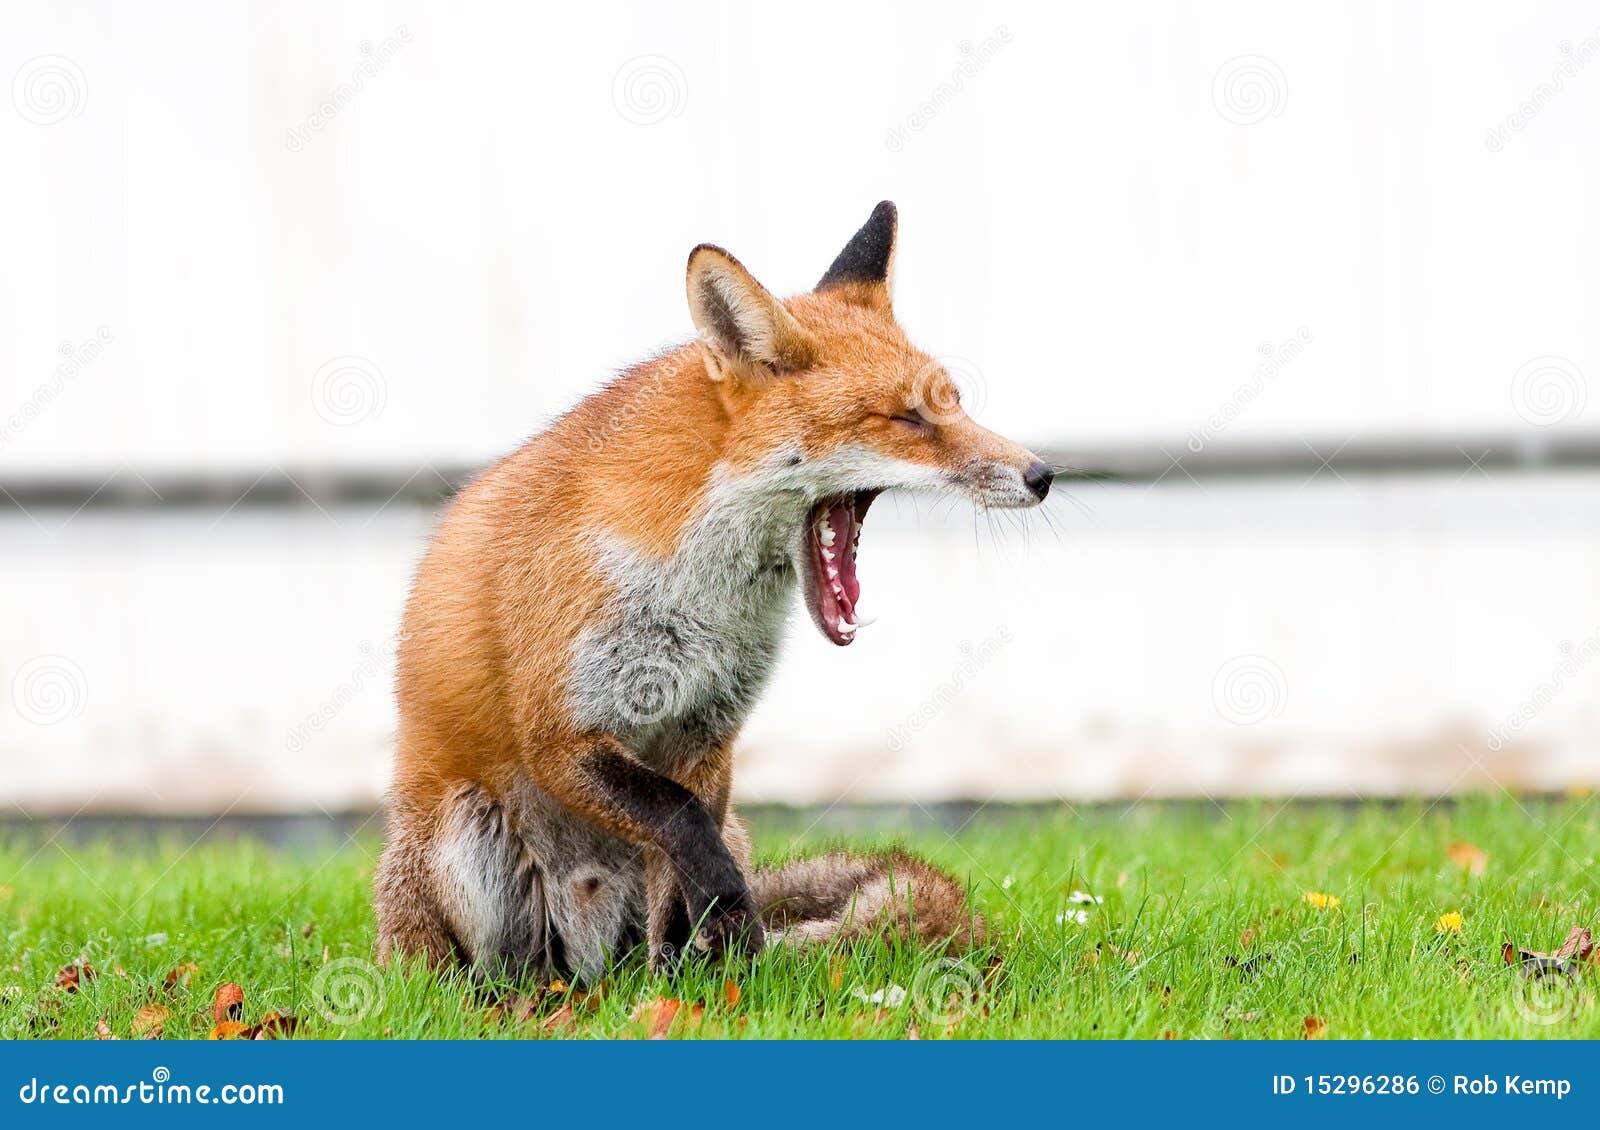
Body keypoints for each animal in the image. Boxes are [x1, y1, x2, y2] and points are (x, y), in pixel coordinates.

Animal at [374, 202, 1049, 981]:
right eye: (906, 419)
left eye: (954, 404)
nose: (1042, 475)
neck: (701, 595)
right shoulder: (559, 728)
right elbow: (679, 821)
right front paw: (720, 928)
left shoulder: (707, 730)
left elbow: (680, 872)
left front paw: (692, 983)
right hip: (466, 833)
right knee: (498, 964)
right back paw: (514, 994)